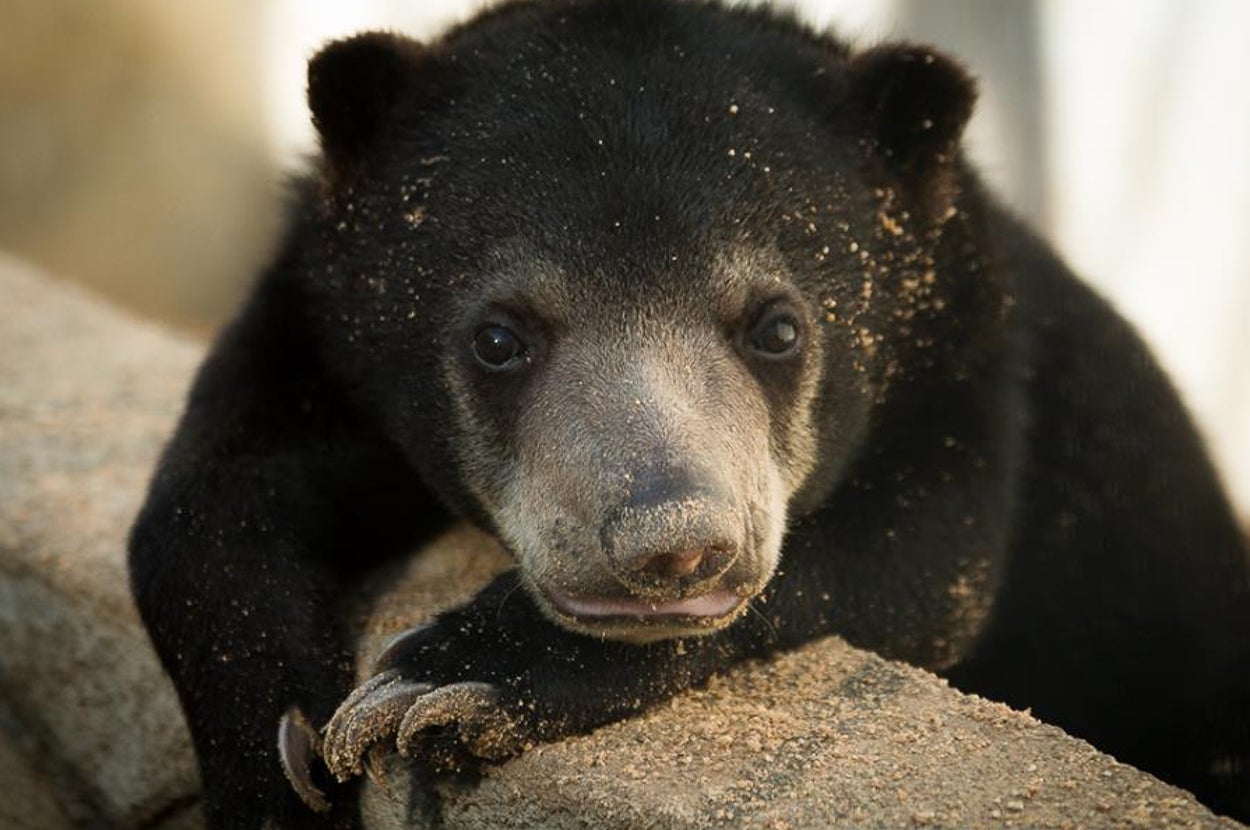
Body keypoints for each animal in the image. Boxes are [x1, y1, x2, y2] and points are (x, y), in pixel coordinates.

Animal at [128, 0, 1250, 827]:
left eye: (778, 328)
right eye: (498, 336)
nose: (672, 547)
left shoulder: (972, 376)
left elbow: (922, 564)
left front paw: (442, 680)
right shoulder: (311, 322)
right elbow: (205, 504)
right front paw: (281, 757)